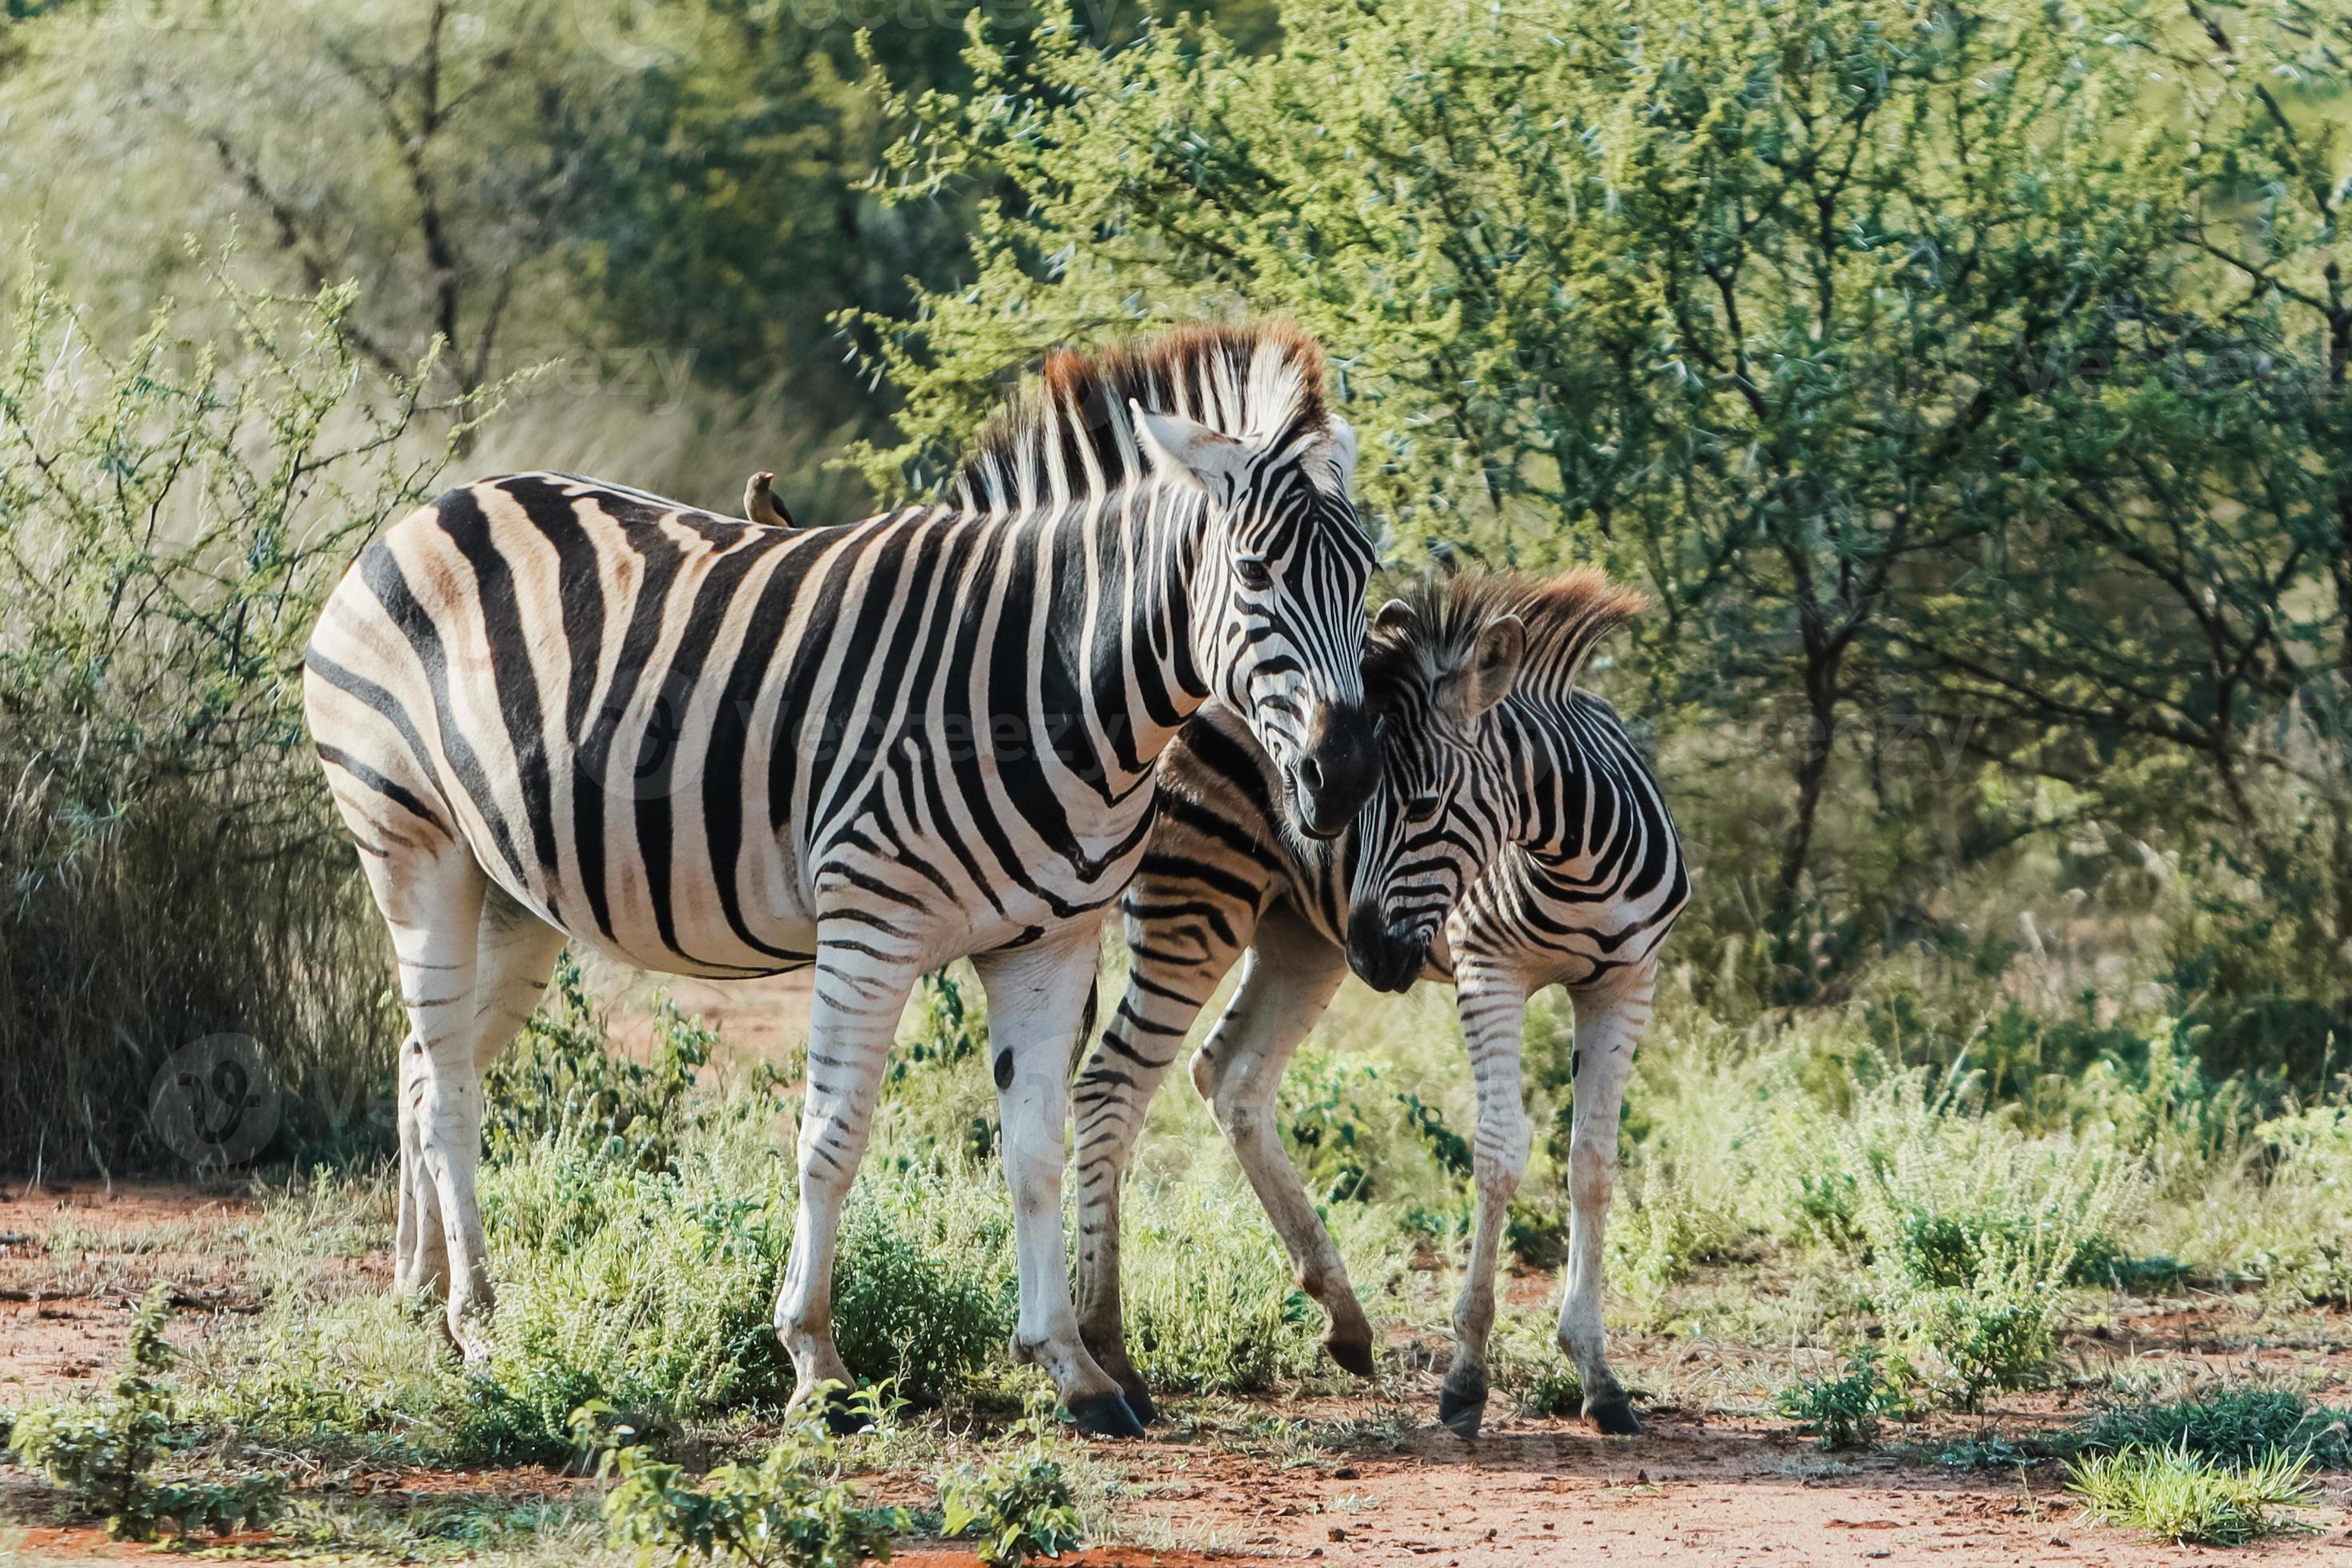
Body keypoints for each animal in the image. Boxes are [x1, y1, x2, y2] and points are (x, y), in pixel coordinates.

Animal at [301, 323, 1381, 1437]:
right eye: (1252, 571)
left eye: (1369, 572)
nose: (1344, 775)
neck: (1051, 682)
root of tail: (440, 505)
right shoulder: (872, 921)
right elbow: (834, 1135)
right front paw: (816, 1363)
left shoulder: (1051, 942)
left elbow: (1036, 1148)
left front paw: (1071, 1367)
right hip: (411, 841)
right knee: (450, 1089)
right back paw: (479, 1323)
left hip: (518, 895)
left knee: (420, 1062)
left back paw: (421, 1292)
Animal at [1070, 569, 1687, 1438]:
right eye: (1364, 805)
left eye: (1421, 806)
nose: (1373, 955)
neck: (1576, 858)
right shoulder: (1489, 969)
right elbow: (1500, 1151)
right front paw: (1466, 1378)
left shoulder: (1627, 982)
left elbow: (1593, 1164)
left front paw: (1600, 1377)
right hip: (1198, 903)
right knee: (1113, 1086)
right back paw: (1111, 1357)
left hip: (1299, 935)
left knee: (1232, 1077)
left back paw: (1346, 1321)